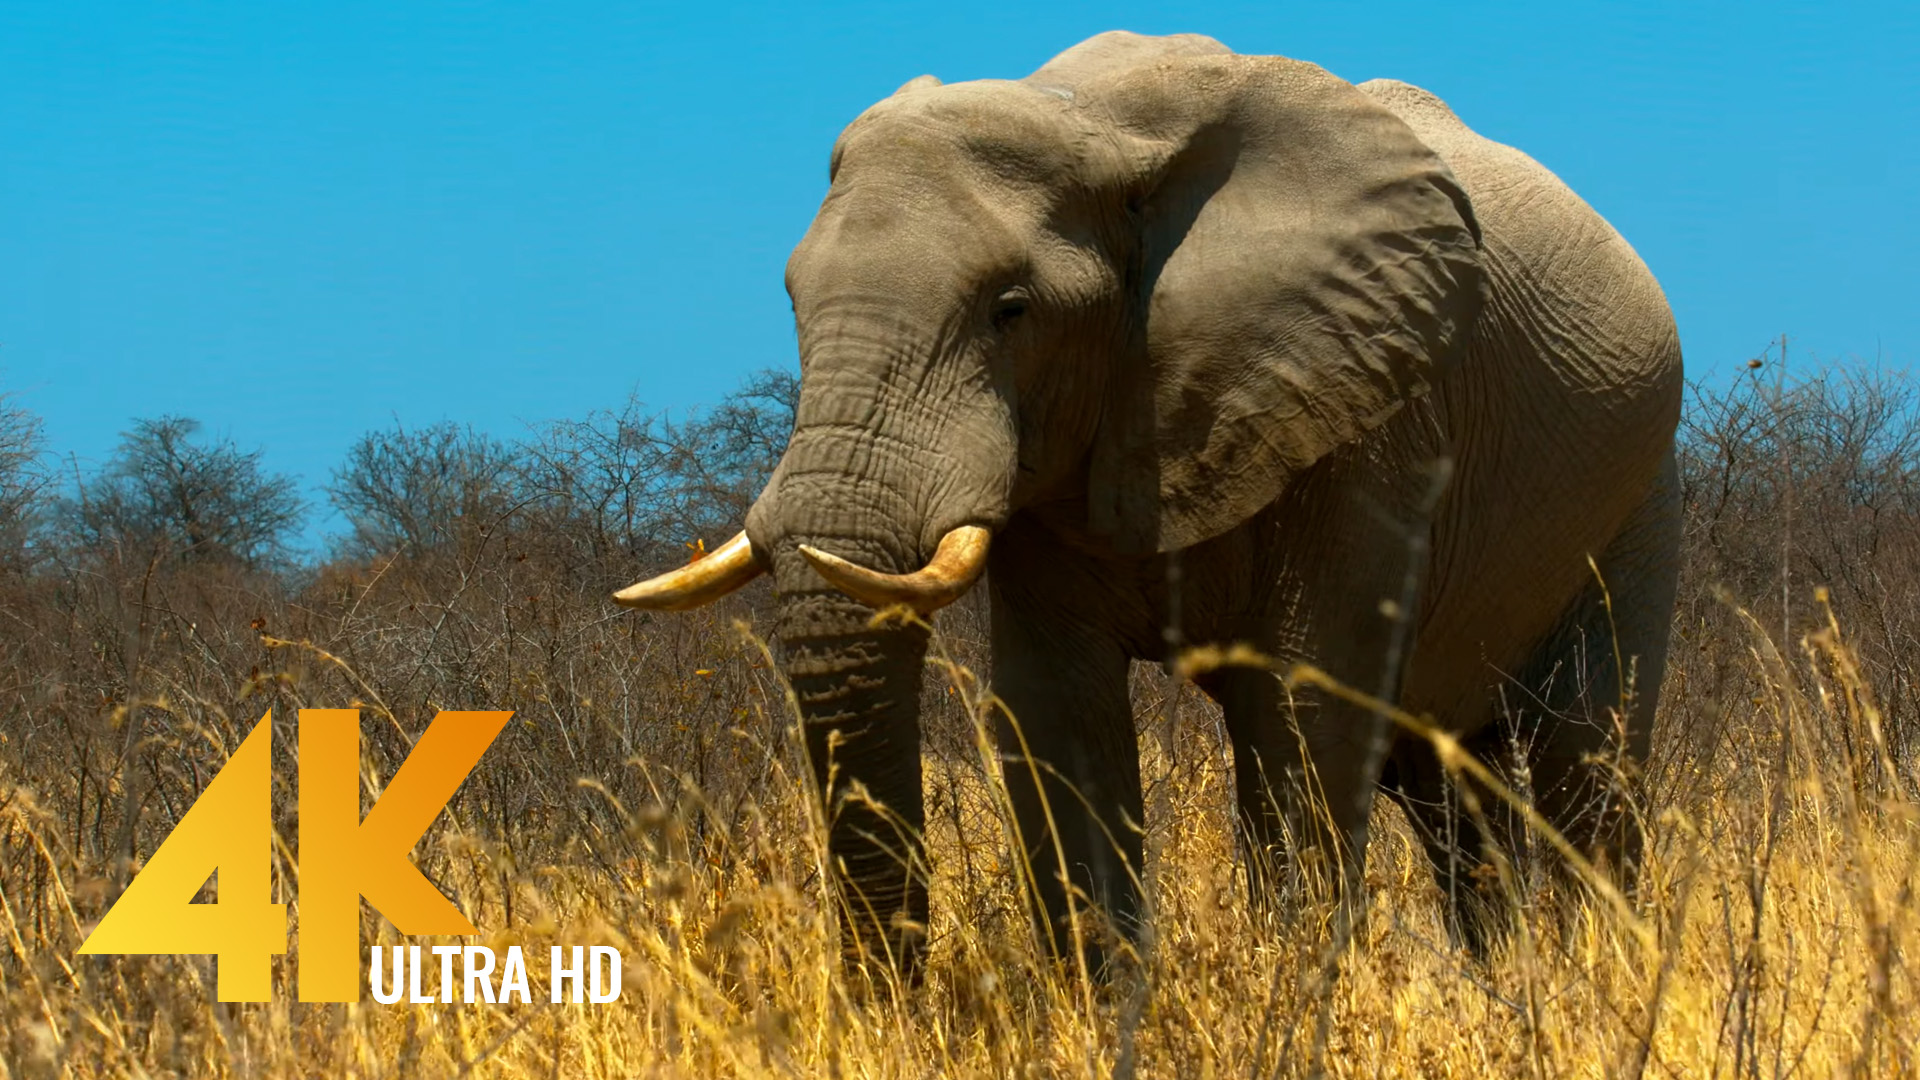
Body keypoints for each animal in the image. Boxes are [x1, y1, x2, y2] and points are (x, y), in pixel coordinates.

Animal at [614, 30, 1683, 974]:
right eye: (793, 301)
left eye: (1011, 311)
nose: (893, 1001)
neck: (1094, 122)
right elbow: (1057, 714)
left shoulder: (1368, 423)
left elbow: (1298, 711)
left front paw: (1285, 1003)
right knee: (1450, 793)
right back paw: (1511, 989)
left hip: (1638, 492)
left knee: (1588, 756)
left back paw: (1600, 981)